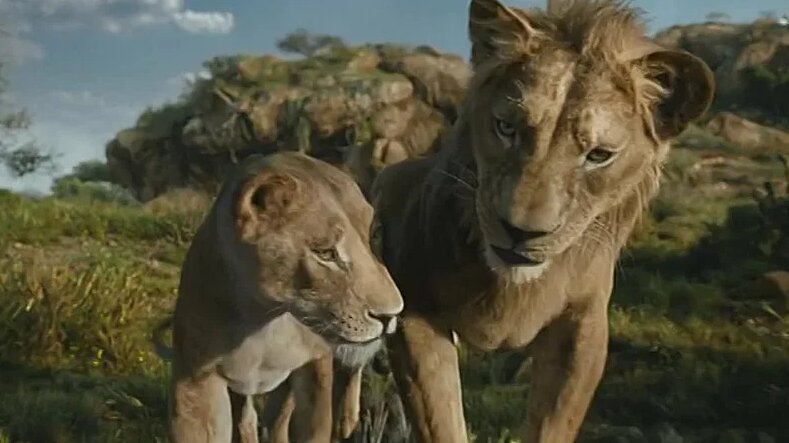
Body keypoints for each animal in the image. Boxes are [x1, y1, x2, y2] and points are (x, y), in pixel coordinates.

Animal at [162, 151, 404, 443]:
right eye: (325, 253)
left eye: (374, 236)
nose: (391, 315)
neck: (261, 320)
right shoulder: (194, 380)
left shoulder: (314, 367)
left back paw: (347, 422)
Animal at [369, 1, 715, 442]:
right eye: (506, 128)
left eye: (599, 155)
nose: (520, 231)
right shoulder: (415, 315)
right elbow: (442, 420)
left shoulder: (583, 327)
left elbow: (553, 423)